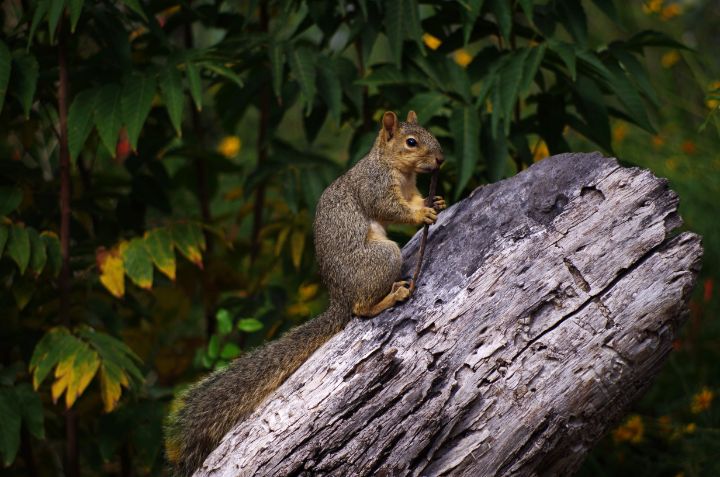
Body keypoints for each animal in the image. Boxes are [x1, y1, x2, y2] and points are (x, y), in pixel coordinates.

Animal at [164, 110, 445, 476]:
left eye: (426, 132)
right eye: (411, 141)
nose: (440, 159)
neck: (394, 166)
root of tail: (339, 298)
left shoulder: (408, 188)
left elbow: (411, 201)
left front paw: (434, 201)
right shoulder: (375, 187)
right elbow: (391, 209)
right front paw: (421, 212)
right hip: (384, 257)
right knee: (360, 309)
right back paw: (389, 297)